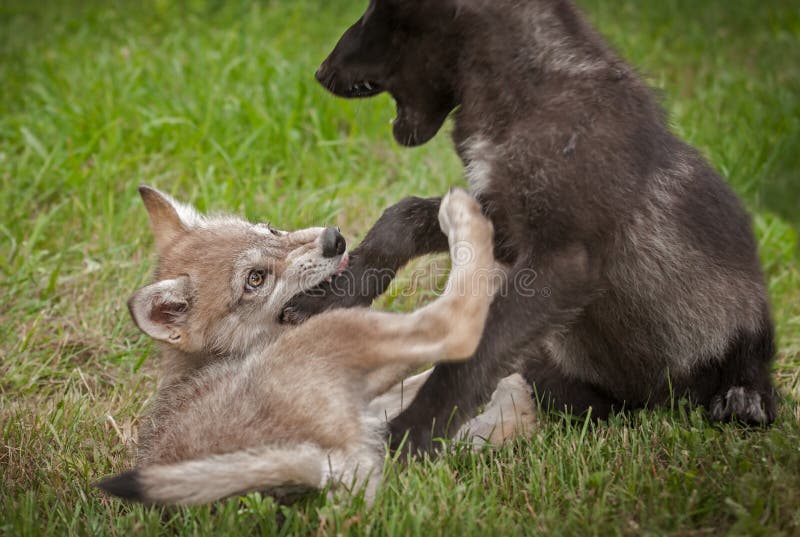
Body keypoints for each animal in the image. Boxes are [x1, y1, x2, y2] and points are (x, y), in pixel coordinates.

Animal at [96, 186, 534, 505]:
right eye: (255, 279)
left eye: (269, 229)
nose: (334, 239)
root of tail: (319, 469)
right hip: (345, 328)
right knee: (455, 320)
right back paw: (463, 214)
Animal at [282, 0, 777, 454]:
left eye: (373, 13)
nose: (320, 72)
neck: (528, 87)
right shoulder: (502, 225)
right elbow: (400, 217)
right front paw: (331, 297)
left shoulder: (563, 262)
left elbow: (475, 353)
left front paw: (410, 436)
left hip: (741, 312)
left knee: (755, 353)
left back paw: (744, 398)